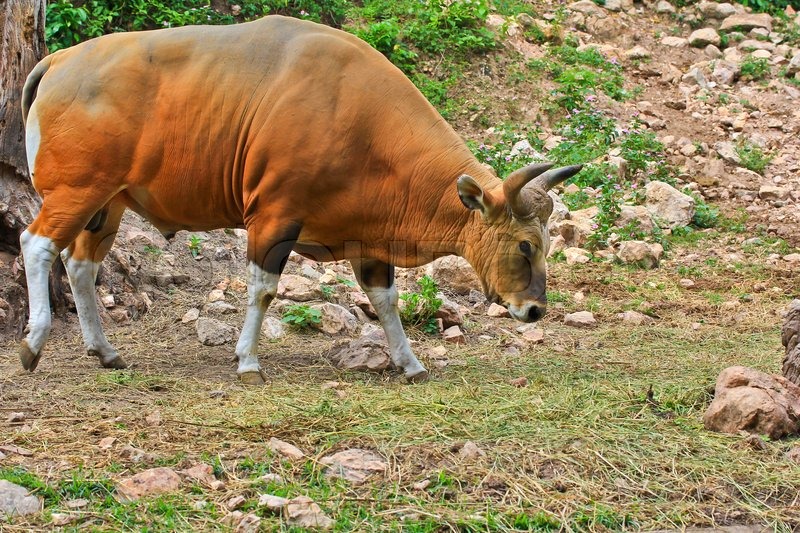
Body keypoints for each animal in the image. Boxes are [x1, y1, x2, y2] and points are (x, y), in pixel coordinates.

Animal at [19, 15, 581, 384]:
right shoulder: (273, 218)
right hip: (77, 191)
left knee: (82, 265)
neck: (359, 119)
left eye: (547, 245)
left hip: (108, 203)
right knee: (37, 244)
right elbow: (264, 289)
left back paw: (105, 351)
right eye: (526, 246)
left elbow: (386, 301)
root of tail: (58, 59)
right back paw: (33, 342)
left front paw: (410, 363)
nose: (535, 310)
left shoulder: (369, 238)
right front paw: (247, 362)